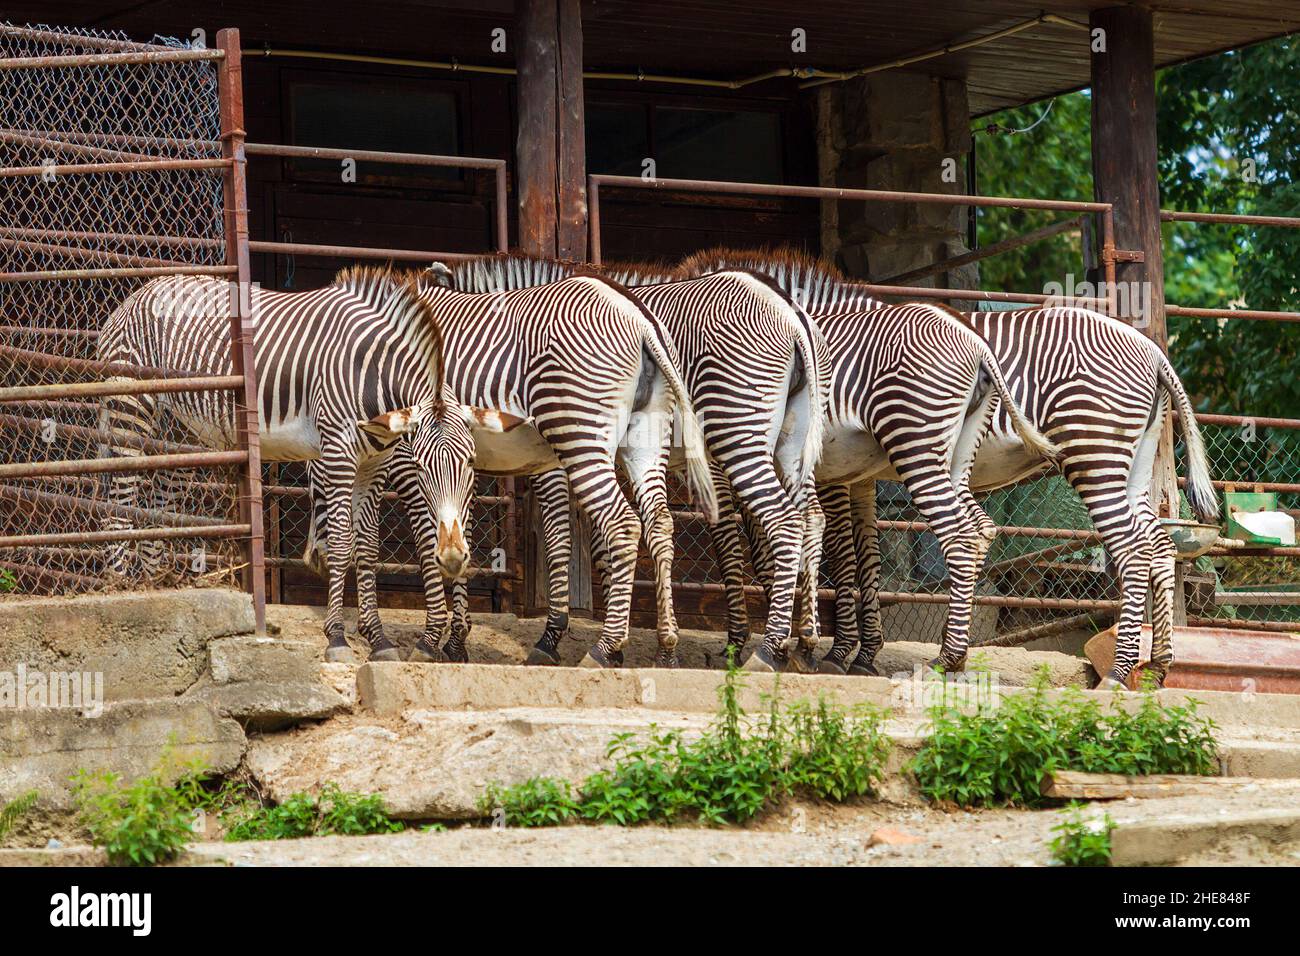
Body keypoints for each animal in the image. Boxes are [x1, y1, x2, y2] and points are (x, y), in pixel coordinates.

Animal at [96, 267, 486, 663]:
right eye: (421, 466)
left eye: (471, 462)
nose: (452, 558)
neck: (372, 377)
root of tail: (140, 291)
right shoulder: (339, 451)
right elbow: (343, 543)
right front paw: (337, 638)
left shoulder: (374, 463)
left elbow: (368, 546)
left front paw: (378, 639)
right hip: (130, 406)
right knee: (118, 499)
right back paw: (120, 587)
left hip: (178, 425)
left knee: (158, 495)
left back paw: (155, 583)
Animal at [305, 264, 718, 668]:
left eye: (311, 476)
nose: (315, 562)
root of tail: (638, 316)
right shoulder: (462, 465)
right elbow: (466, 535)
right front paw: (457, 641)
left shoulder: (413, 459)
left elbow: (422, 539)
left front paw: (431, 639)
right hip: (643, 439)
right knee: (660, 522)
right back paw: (666, 647)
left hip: (580, 434)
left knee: (623, 524)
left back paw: (604, 648)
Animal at [697, 248, 1217, 688]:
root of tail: (1152, 350)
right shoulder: (855, 477)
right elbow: (861, 554)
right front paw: (855, 653)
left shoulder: (826, 473)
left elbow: (801, 548)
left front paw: (808, 648)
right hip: (1136, 462)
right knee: (1159, 547)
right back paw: (1156, 668)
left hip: (1094, 453)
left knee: (1133, 548)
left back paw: (1118, 672)